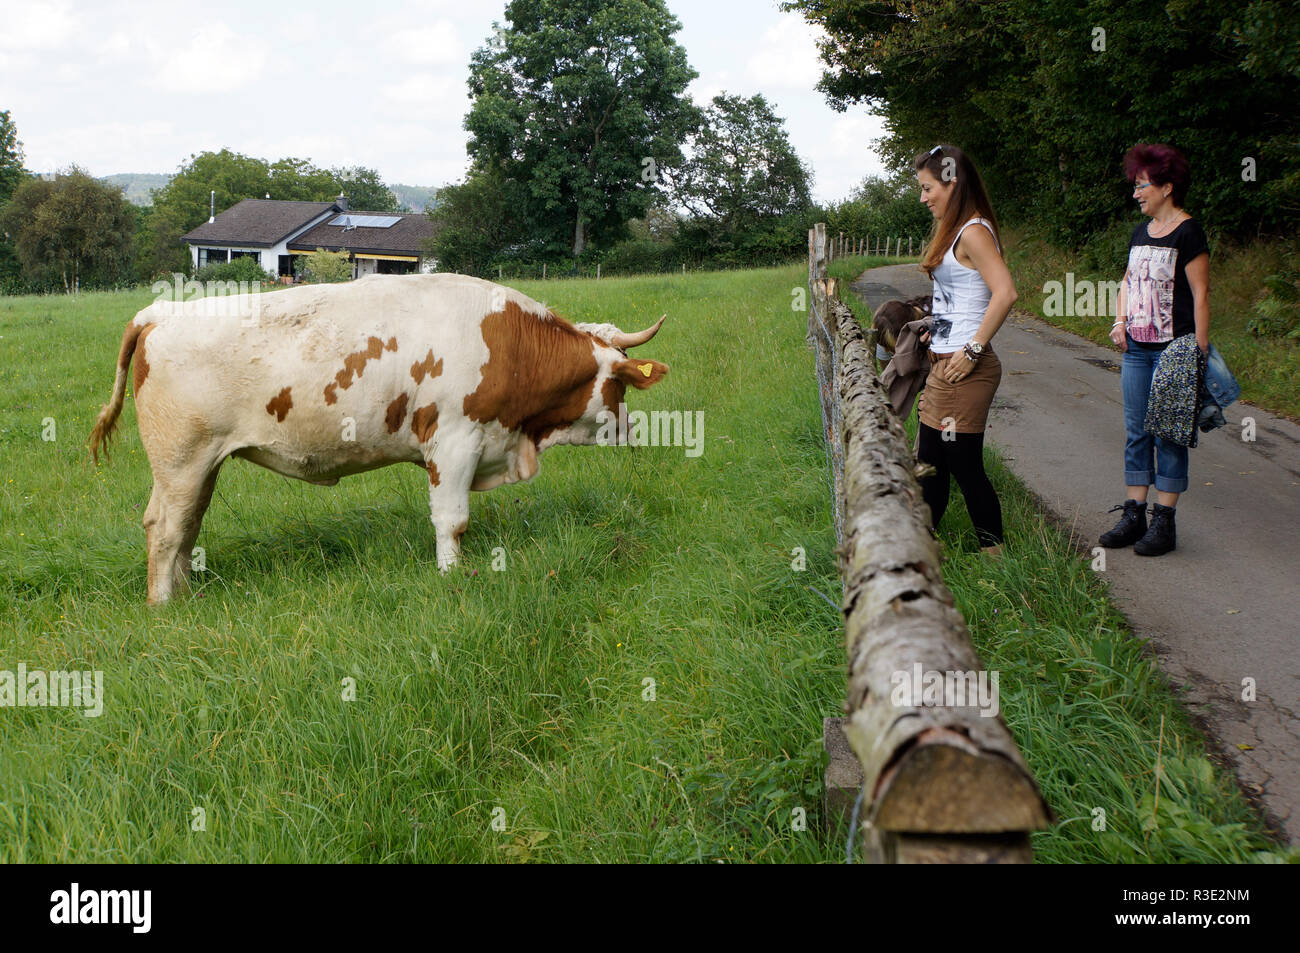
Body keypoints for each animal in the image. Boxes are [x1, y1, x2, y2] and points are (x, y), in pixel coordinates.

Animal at [87, 273, 669, 604]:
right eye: (620, 384)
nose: (630, 431)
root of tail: (161, 311)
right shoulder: (453, 442)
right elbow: (451, 521)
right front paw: (451, 578)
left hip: (201, 467)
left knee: (186, 527)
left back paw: (185, 592)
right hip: (180, 462)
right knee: (165, 529)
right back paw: (163, 604)